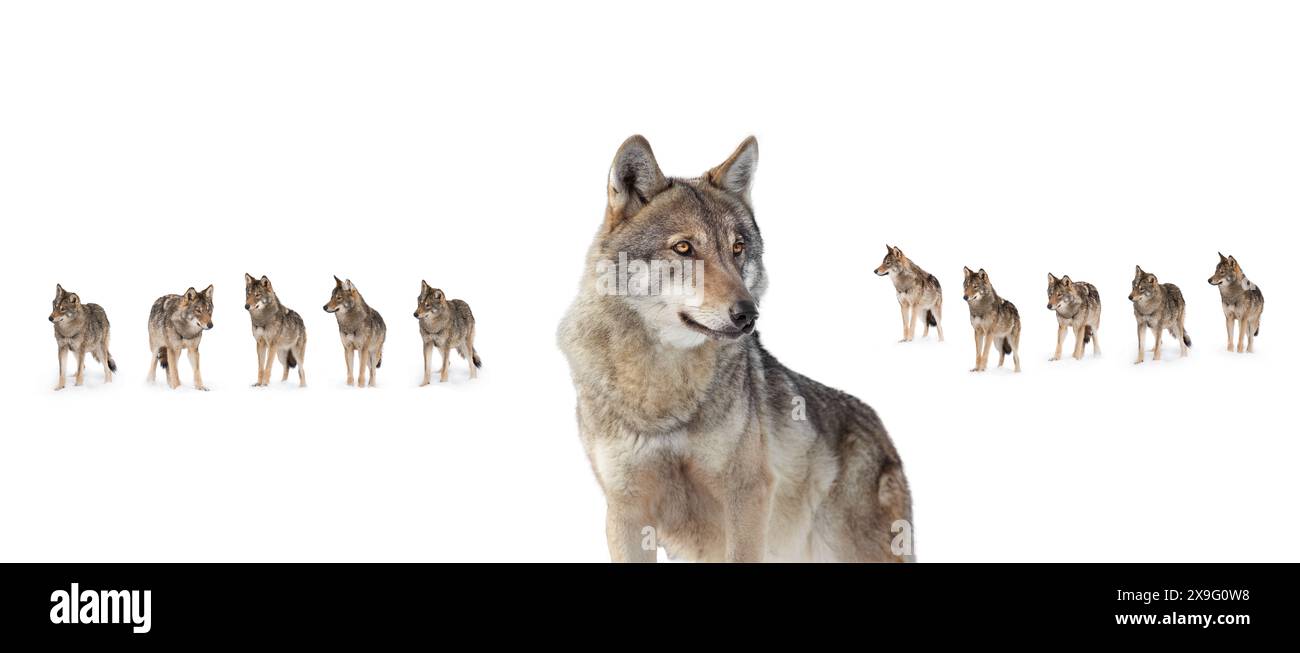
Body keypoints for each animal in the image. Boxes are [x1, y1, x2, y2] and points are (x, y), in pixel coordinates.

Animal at [557, 136, 912, 562]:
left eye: (738, 247)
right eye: (684, 247)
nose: (748, 314)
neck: (663, 387)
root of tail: (884, 432)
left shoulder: (746, 498)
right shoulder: (625, 510)